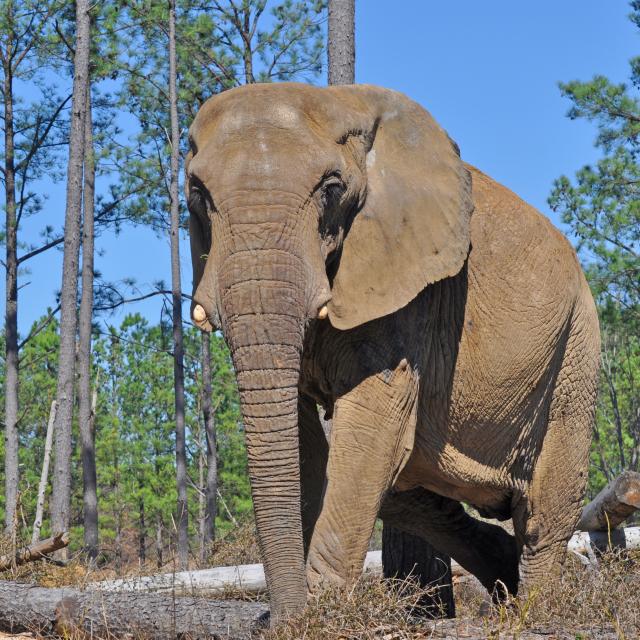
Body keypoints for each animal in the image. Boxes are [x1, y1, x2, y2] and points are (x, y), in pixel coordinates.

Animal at [185, 82, 600, 621]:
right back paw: (504, 580)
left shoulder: (412, 290)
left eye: (332, 189)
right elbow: (307, 439)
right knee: (411, 487)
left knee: (545, 510)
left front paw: (322, 616)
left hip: (577, 347)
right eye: (198, 194)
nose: (281, 617)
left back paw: (532, 611)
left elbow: (372, 426)